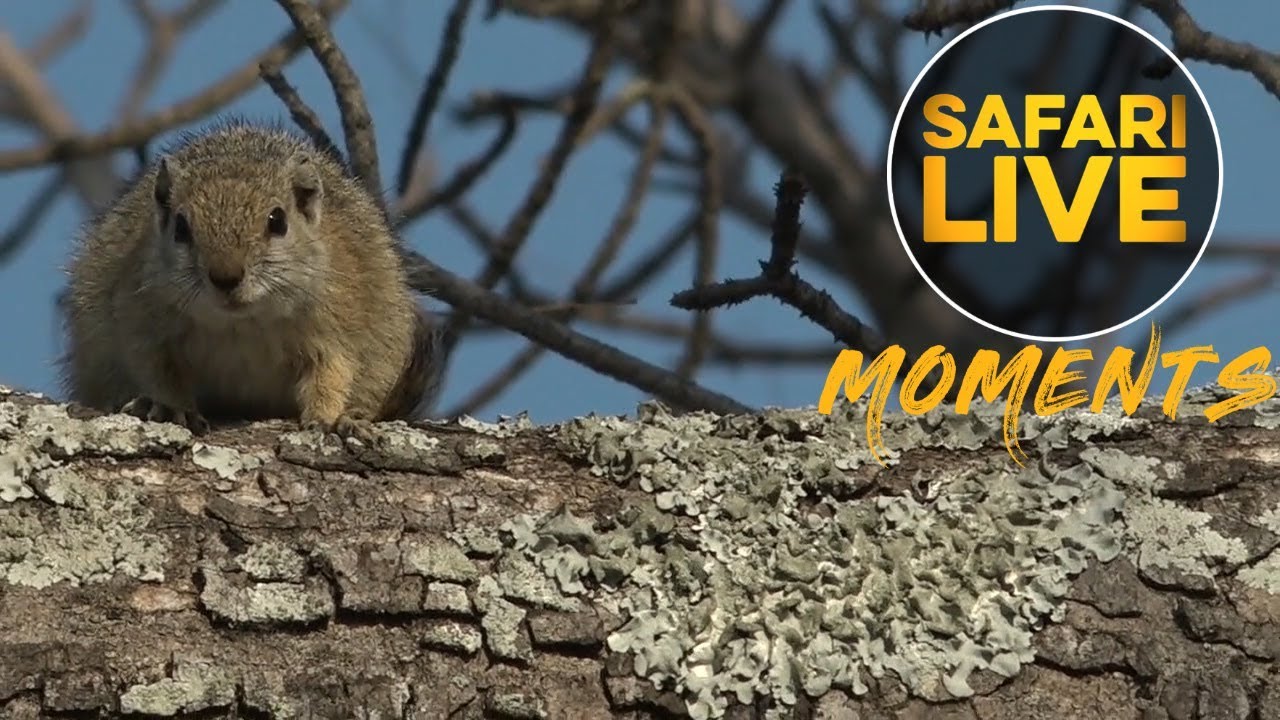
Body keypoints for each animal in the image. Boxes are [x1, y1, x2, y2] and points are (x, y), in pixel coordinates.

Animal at [59, 117, 440, 439]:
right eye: (180, 227)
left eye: (277, 221)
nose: (226, 277)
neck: (242, 324)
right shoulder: (139, 319)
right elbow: (157, 370)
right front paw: (169, 407)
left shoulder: (340, 320)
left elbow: (332, 375)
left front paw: (330, 418)